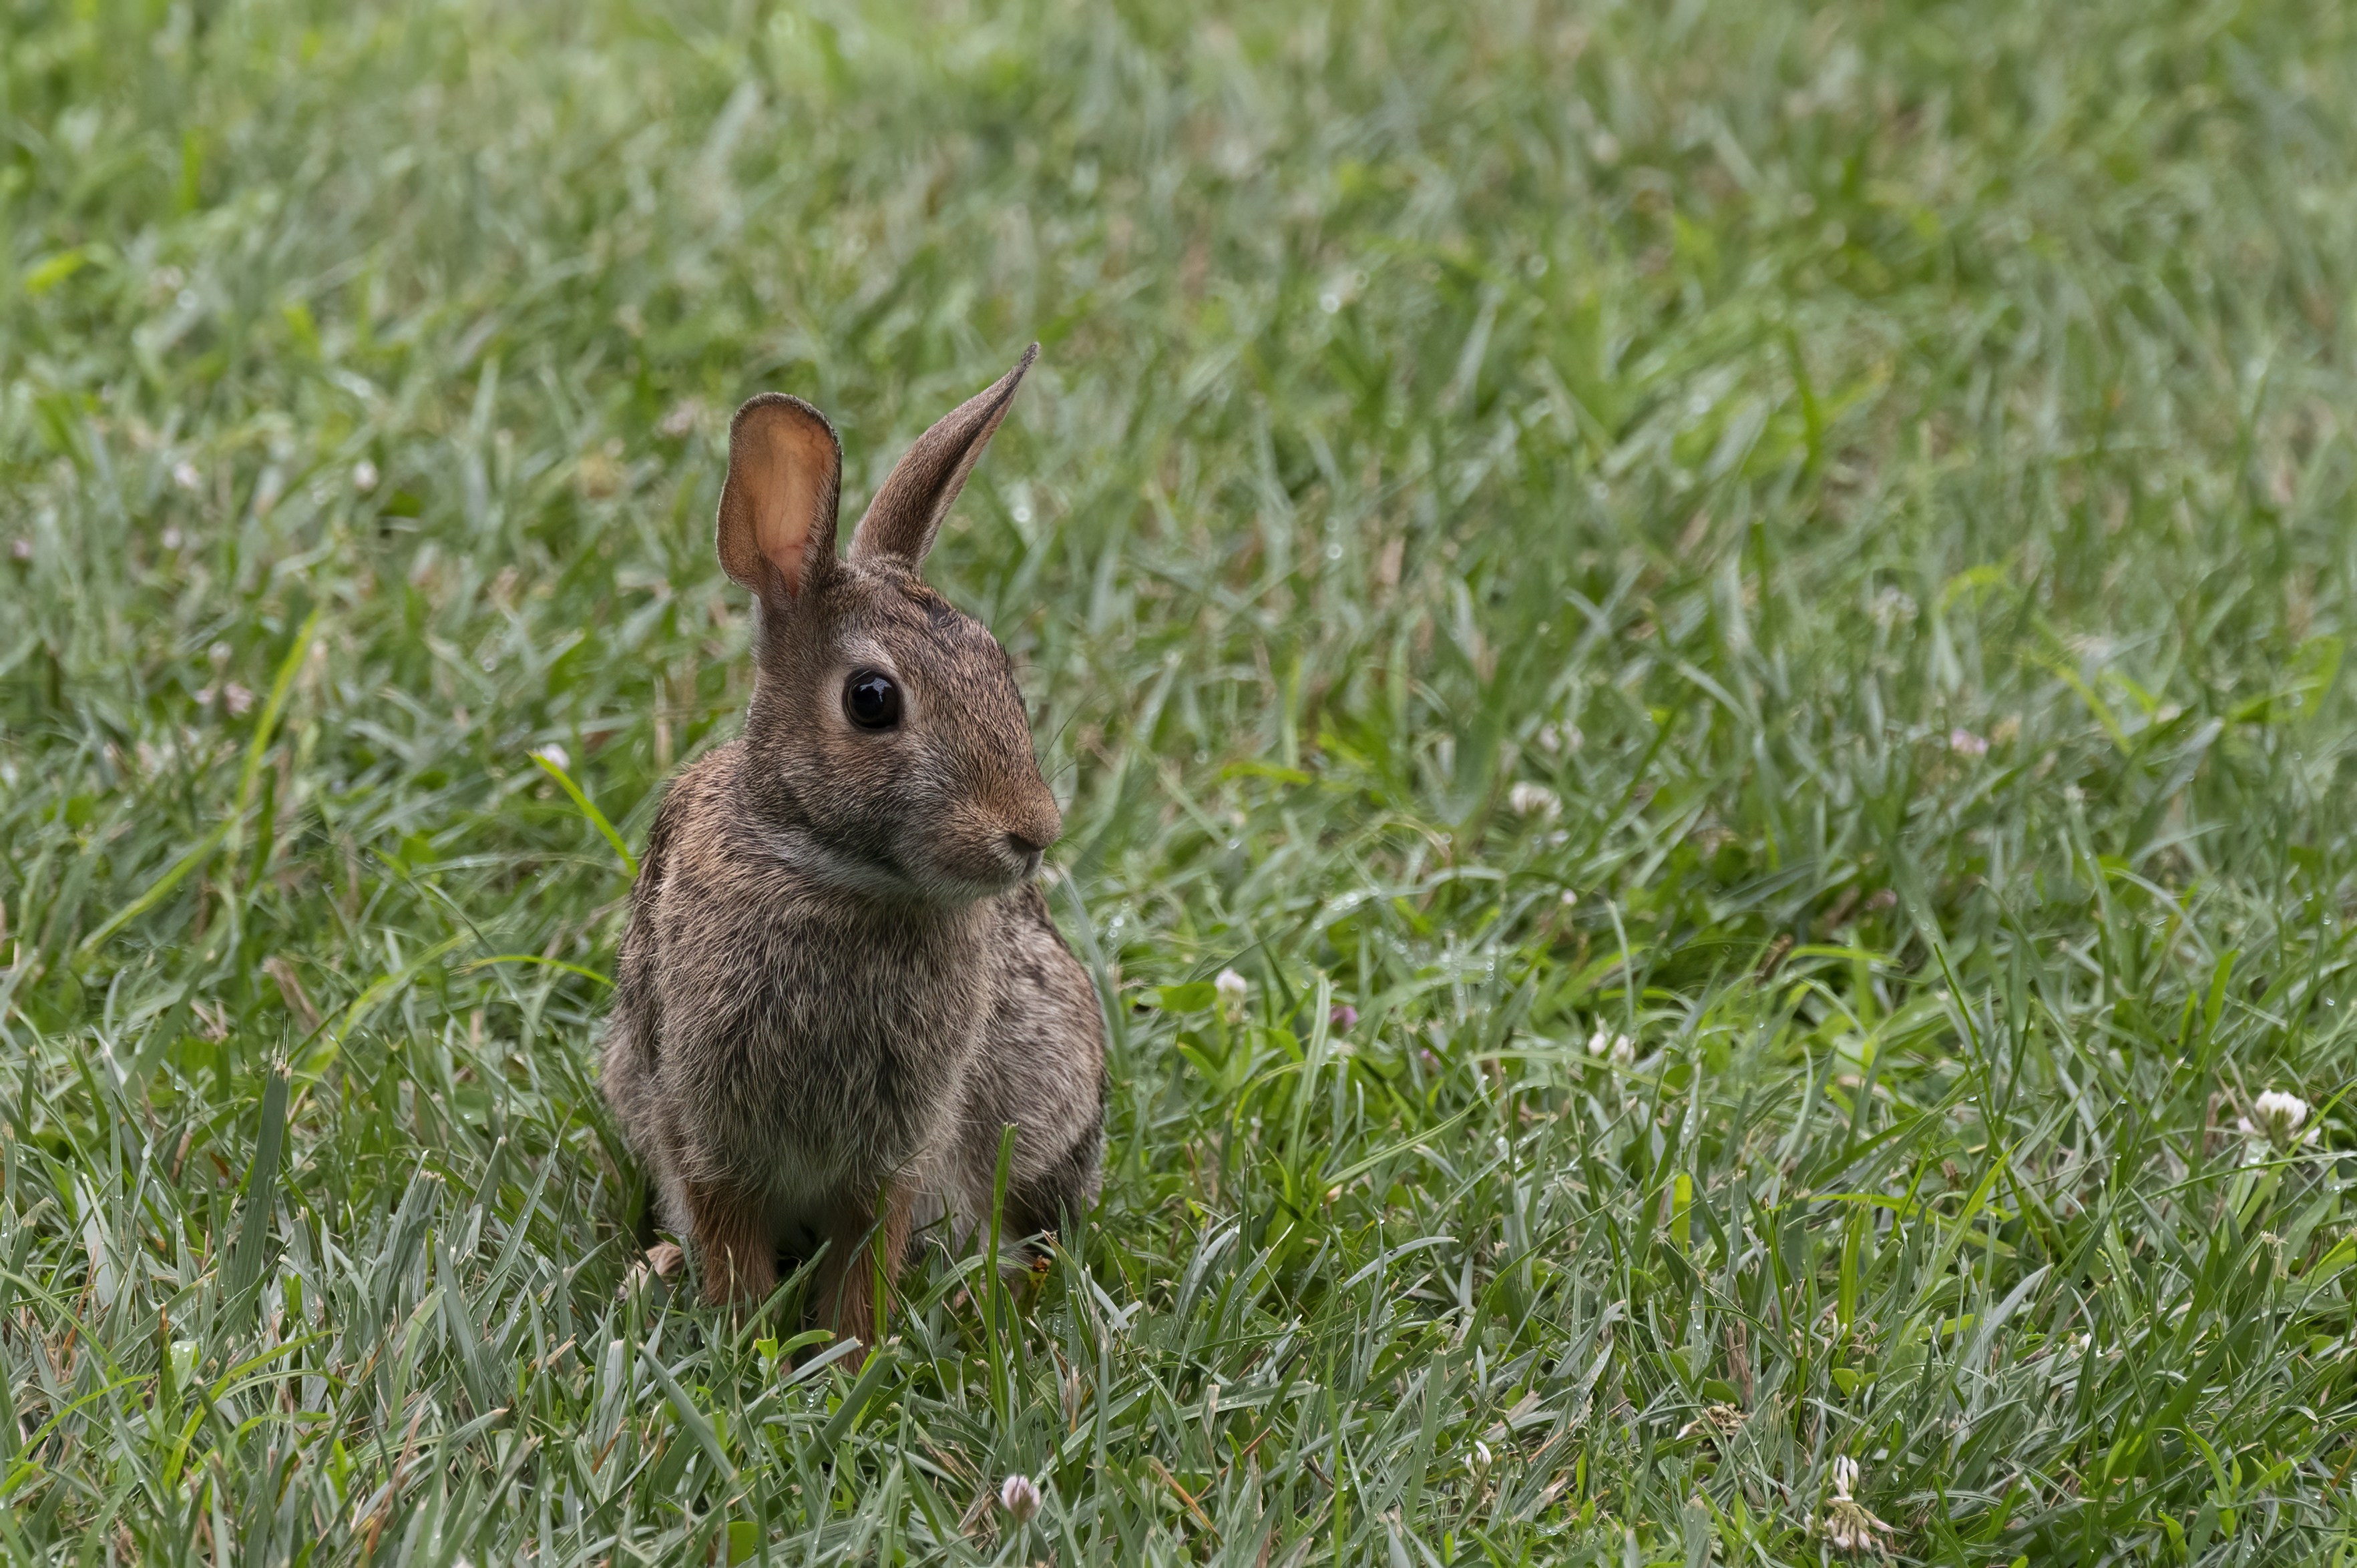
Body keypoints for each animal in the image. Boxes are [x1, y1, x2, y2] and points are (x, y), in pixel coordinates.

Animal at [601, 345, 1105, 1340]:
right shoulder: (702, 1122)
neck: (823, 870)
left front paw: (848, 1348)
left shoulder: (899, 1145)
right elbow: (728, 1228)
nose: (1031, 833)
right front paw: (743, 1336)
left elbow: (869, 1241)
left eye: (1000, 669)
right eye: (871, 701)